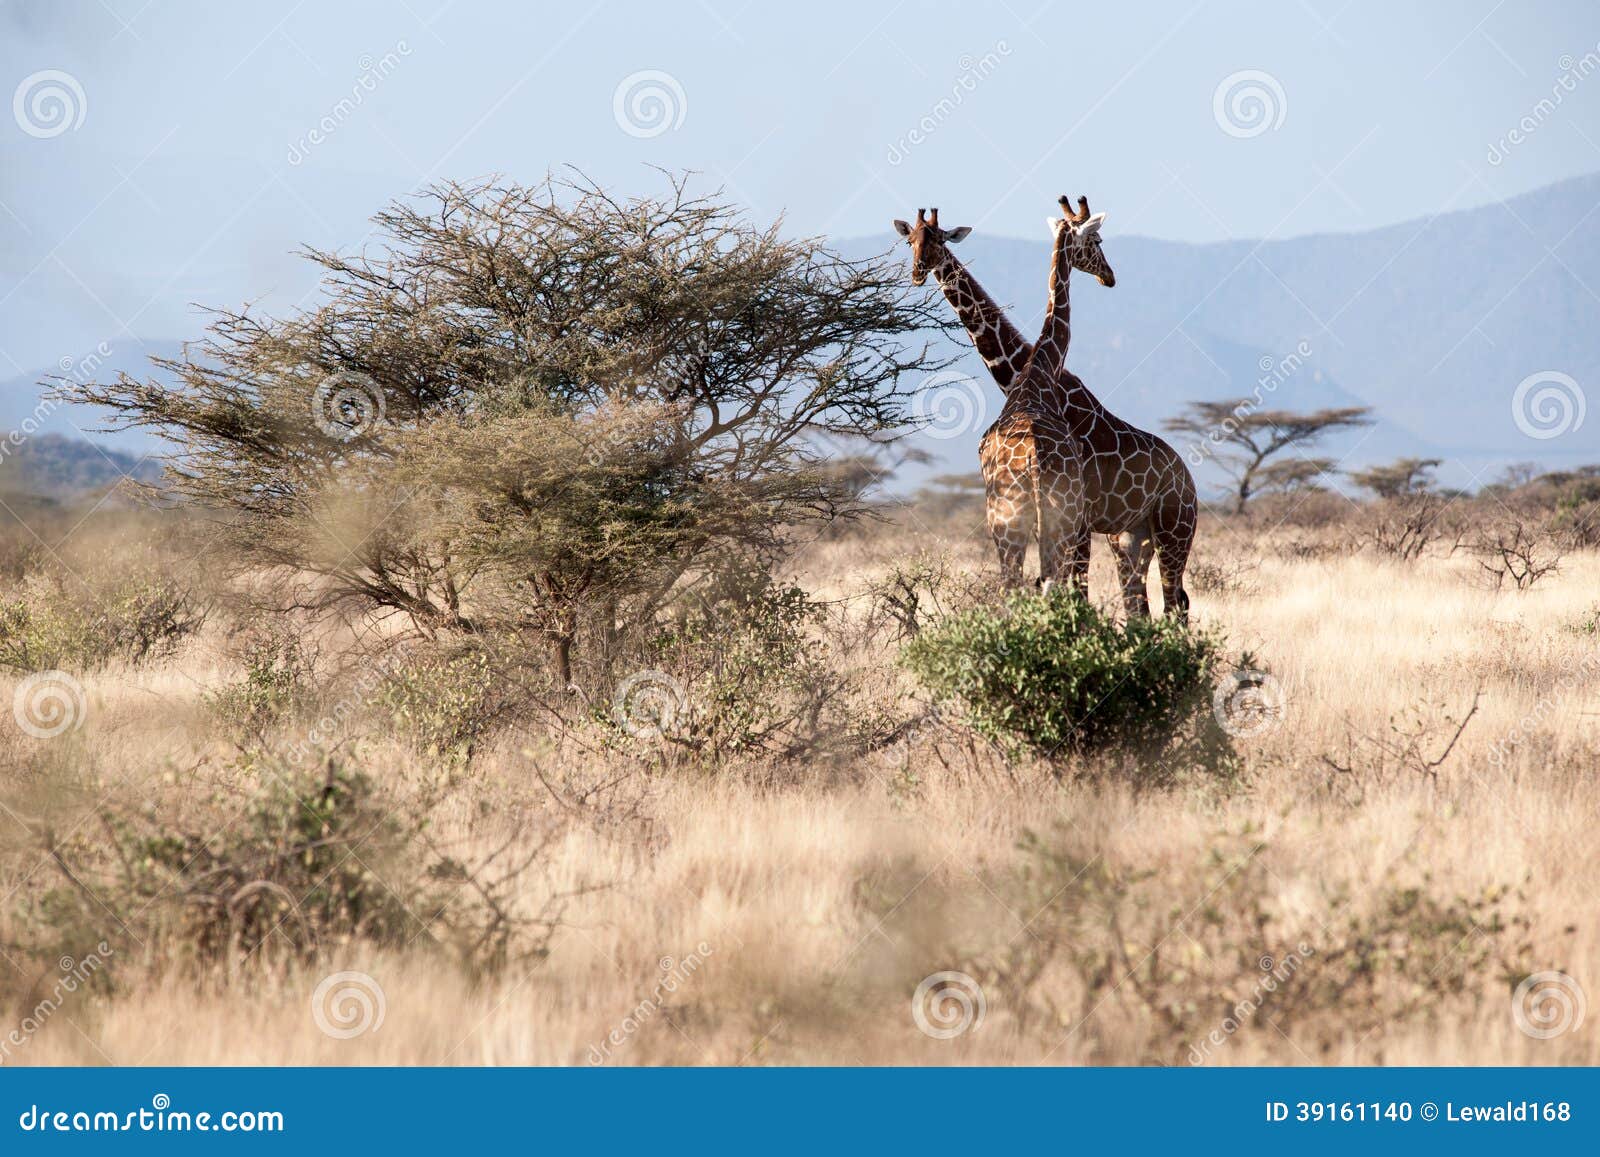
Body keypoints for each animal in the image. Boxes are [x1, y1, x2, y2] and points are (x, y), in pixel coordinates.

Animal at [893, 198, 1197, 618]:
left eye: (938, 239)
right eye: (911, 242)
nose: (1109, 276)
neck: (1029, 371)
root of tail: (1187, 476)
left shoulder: (1081, 522)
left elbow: (1075, 591)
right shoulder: (1086, 525)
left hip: (1170, 528)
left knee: (1171, 604)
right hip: (1128, 536)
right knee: (1148, 606)